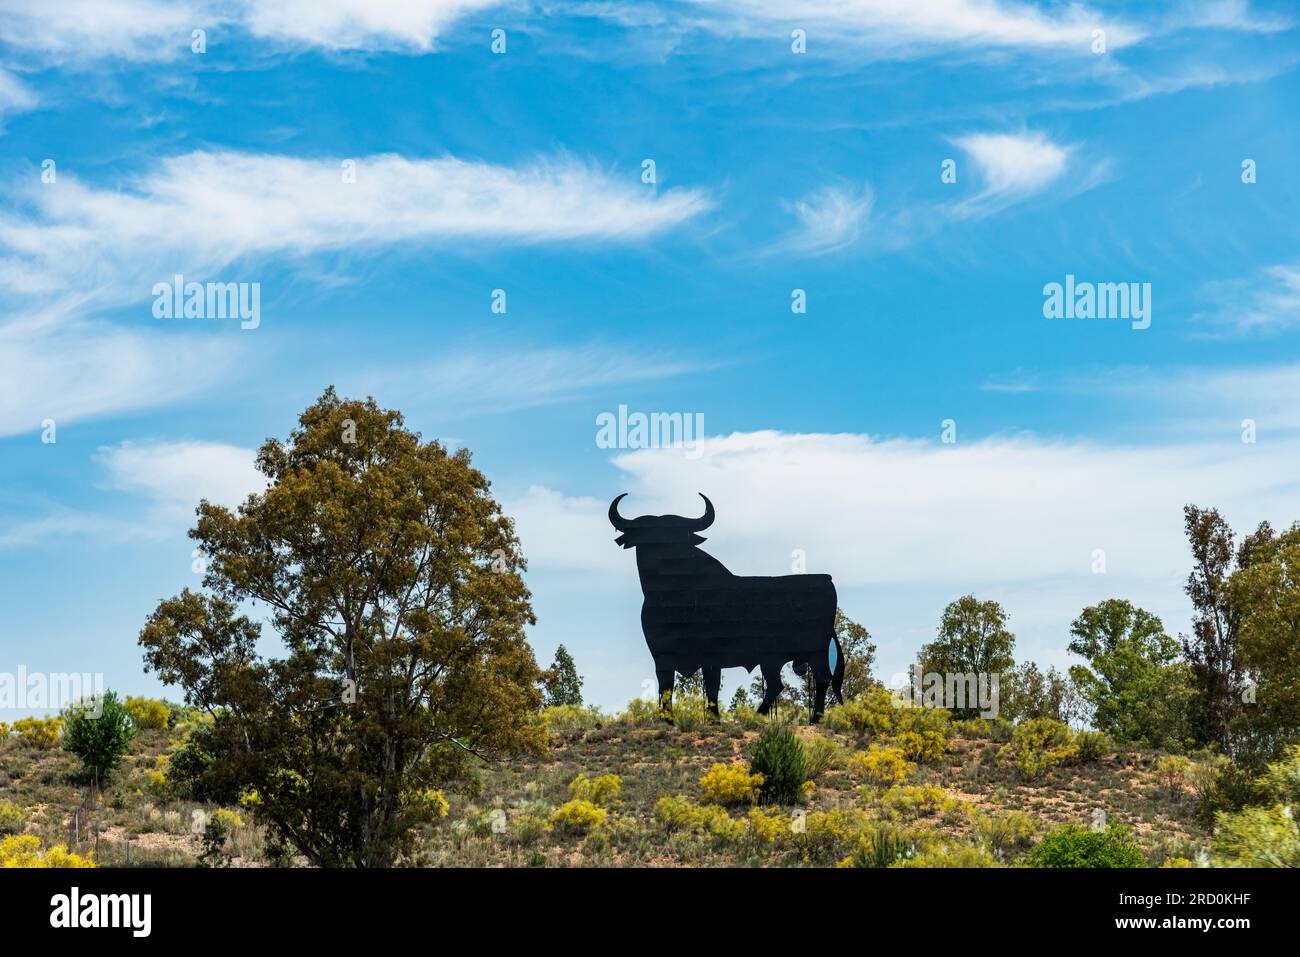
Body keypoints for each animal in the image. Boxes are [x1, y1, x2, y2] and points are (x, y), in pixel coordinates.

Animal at [609, 493, 845, 723]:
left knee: (821, 678)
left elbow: (711, 686)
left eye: (677, 536)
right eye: (646, 536)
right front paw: (667, 720)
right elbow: (666, 686)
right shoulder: (661, 654)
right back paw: (758, 716)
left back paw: (814, 719)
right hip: (773, 658)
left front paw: (714, 720)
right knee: (776, 684)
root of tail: (827, 579)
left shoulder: (712, 655)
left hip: (816, 651)